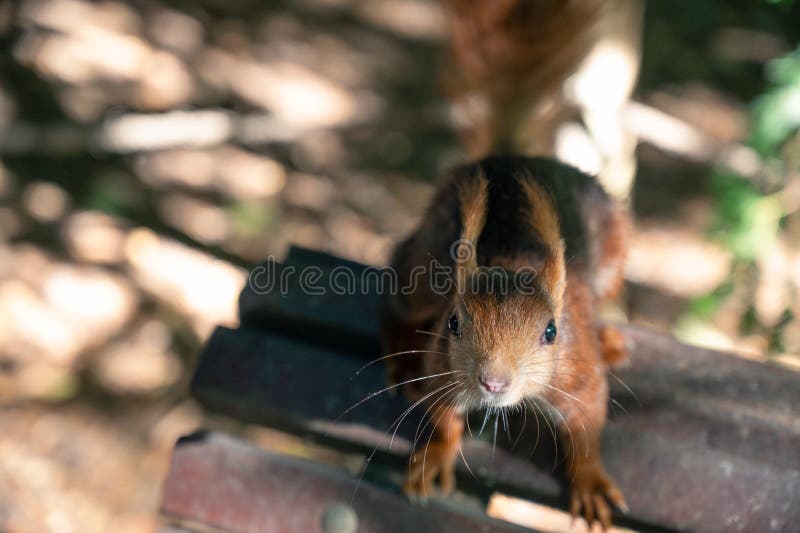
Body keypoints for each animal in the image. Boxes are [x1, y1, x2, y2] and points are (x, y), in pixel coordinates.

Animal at [379, 2, 631, 528]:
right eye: (455, 323)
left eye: (551, 332)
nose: (493, 382)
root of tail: (515, 156)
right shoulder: (443, 365)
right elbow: (442, 417)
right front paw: (436, 456)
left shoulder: (579, 375)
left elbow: (587, 431)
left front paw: (591, 481)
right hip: (425, 265)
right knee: (396, 295)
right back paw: (400, 355)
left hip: (612, 260)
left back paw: (611, 339)